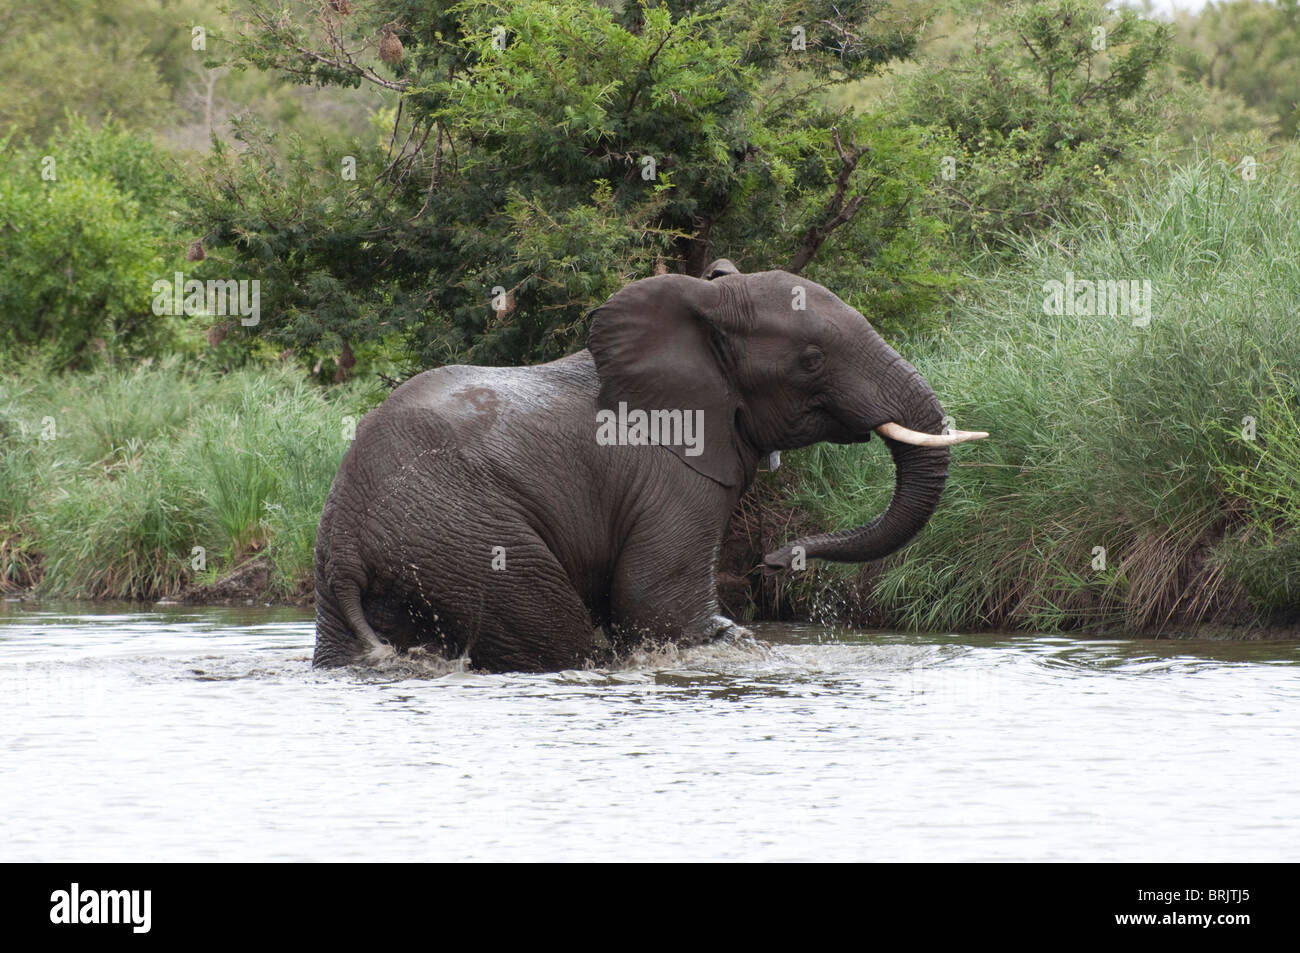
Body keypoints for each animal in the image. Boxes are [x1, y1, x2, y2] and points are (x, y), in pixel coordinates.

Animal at [312, 260, 985, 671]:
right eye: (813, 359)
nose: (777, 559)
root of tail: (348, 545)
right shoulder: (670, 477)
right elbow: (655, 606)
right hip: (469, 545)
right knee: (559, 636)